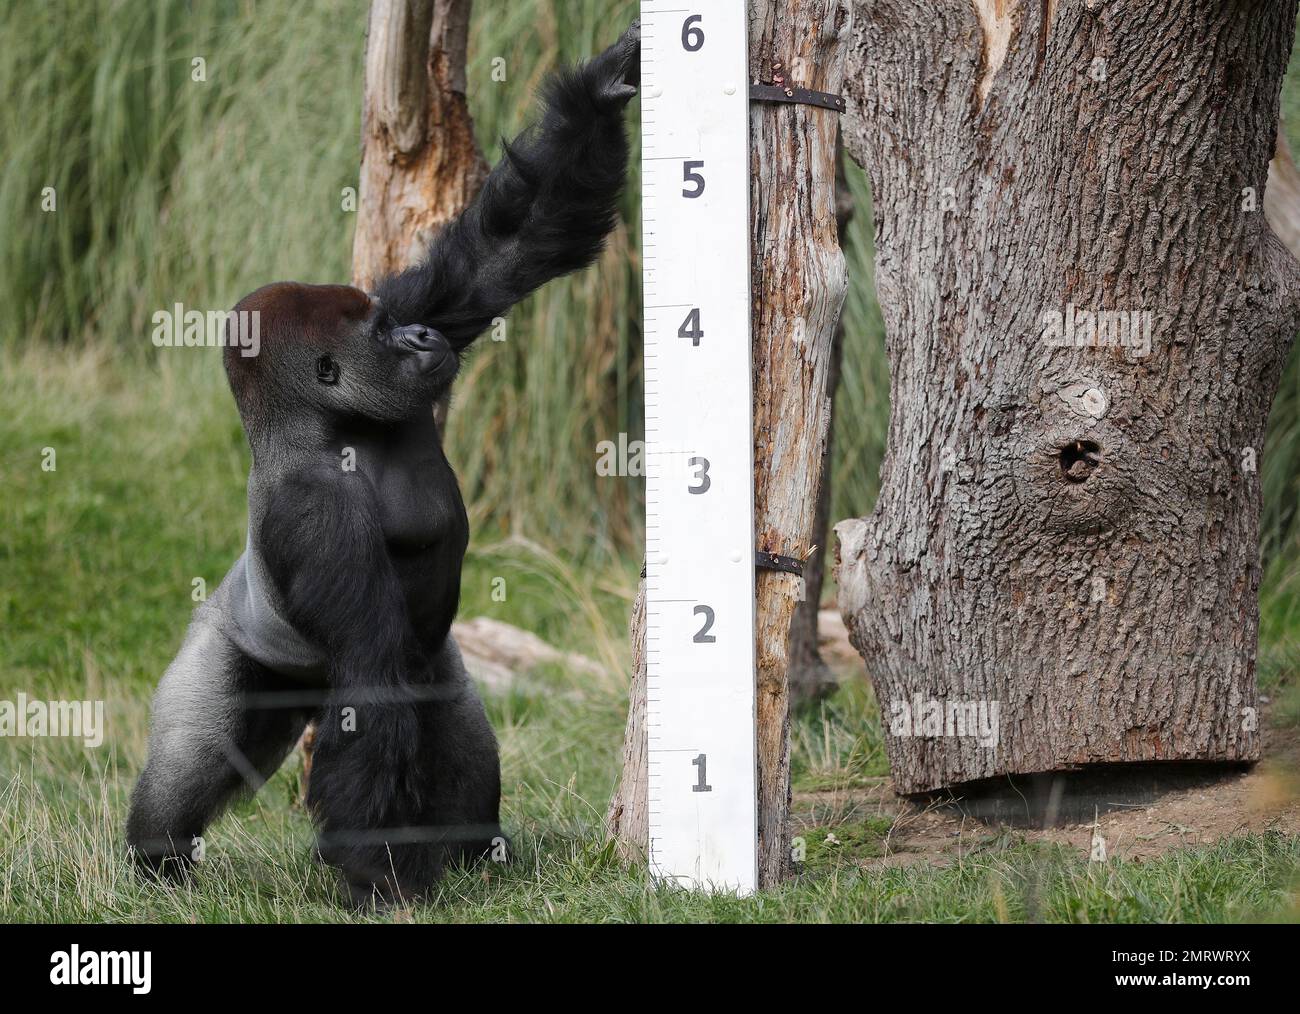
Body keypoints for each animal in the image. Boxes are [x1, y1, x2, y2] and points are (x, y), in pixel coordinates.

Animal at [126, 23, 640, 906]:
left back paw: (472, 849)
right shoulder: (316, 512)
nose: (423, 337)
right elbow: (370, 680)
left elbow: (511, 245)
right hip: (233, 639)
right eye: (380, 337)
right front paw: (378, 880)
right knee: (192, 760)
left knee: (457, 737)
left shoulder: (403, 291)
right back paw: (154, 856)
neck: (337, 426)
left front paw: (605, 85)